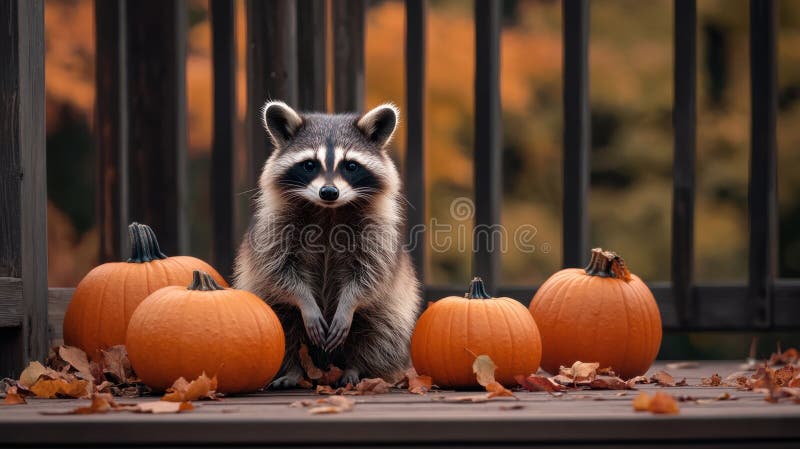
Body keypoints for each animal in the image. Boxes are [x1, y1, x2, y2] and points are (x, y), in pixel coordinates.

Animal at [234, 101, 421, 388]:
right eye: (309, 165)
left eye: (351, 166)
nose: (329, 192)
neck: (328, 210)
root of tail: (324, 367)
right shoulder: (273, 229)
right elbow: (278, 272)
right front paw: (305, 301)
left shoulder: (377, 235)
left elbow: (369, 276)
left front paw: (348, 305)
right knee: (283, 323)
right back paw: (293, 370)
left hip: (392, 307)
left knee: (380, 333)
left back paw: (356, 368)